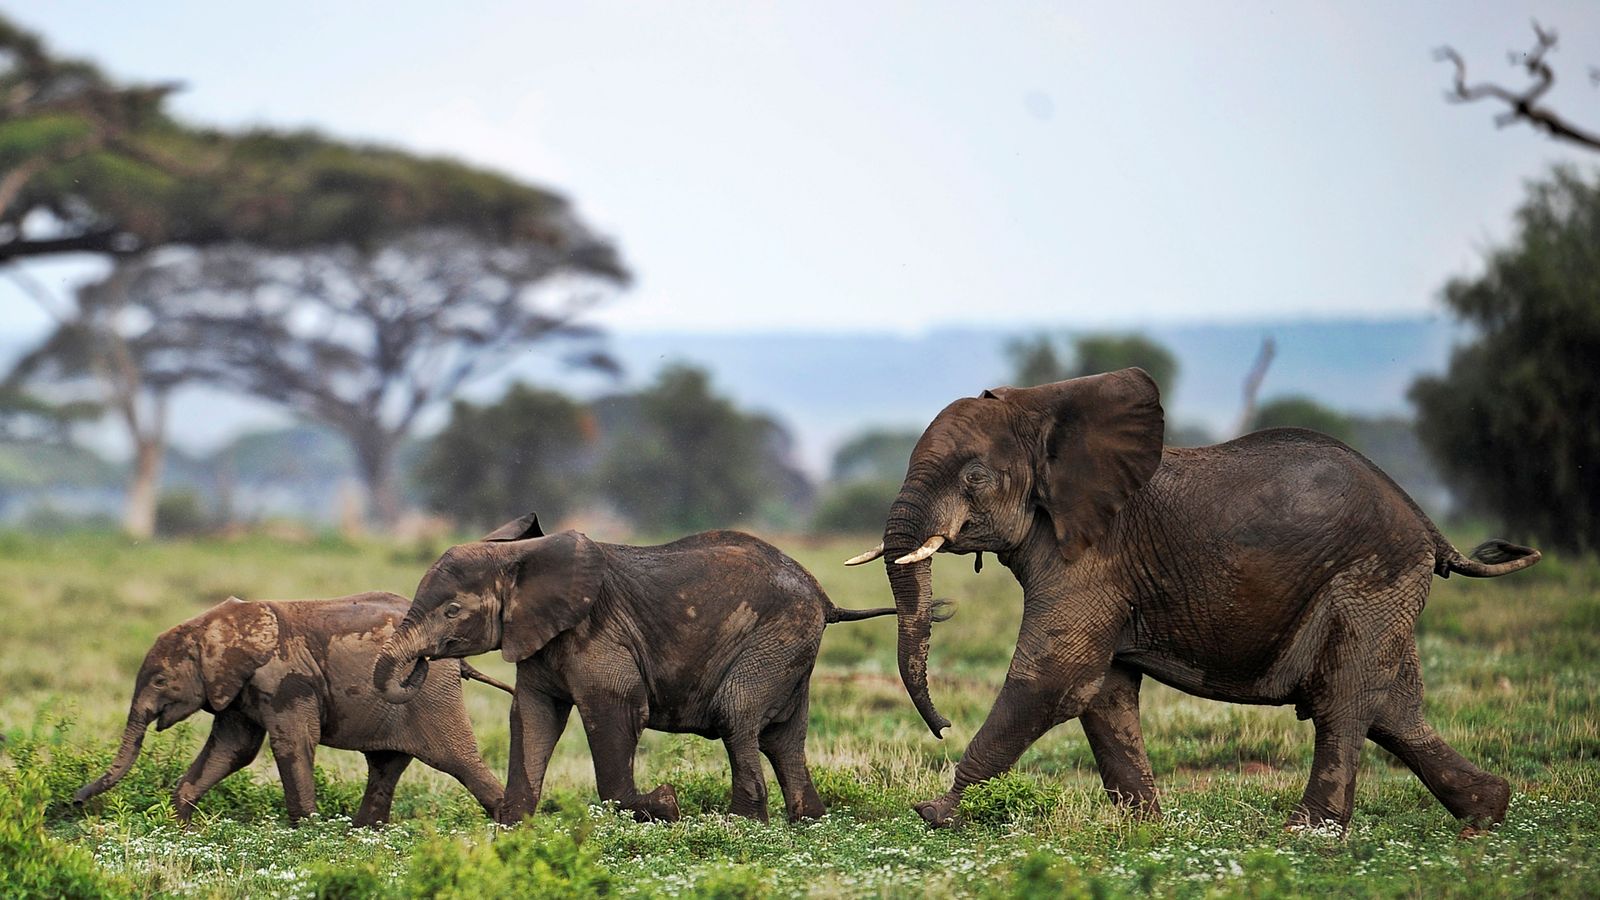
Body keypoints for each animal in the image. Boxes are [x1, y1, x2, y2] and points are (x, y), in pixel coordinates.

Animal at [74, 593, 510, 827]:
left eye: (161, 681)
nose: (77, 802)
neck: (213, 625)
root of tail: (456, 659)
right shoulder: (238, 687)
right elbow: (231, 750)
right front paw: (180, 825)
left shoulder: (285, 680)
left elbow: (292, 745)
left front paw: (306, 834)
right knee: (385, 766)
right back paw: (361, 835)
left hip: (431, 696)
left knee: (458, 760)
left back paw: (510, 827)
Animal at [373, 514, 900, 824]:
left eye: (452, 611)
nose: (421, 667)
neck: (522, 559)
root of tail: (825, 598)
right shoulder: (539, 639)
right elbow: (532, 716)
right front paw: (512, 824)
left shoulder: (598, 635)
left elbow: (615, 712)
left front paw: (665, 803)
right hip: (791, 650)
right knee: (783, 738)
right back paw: (806, 820)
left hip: (775, 639)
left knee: (737, 718)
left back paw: (744, 824)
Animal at [845, 367, 1541, 830]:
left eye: (975, 477)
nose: (941, 726)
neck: (1044, 410)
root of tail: (1425, 522)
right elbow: (1103, 692)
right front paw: (1144, 831)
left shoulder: (1092, 559)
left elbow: (1053, 679)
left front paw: (934, 814)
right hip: (1385, 587)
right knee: (1392, 707)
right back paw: (1487, 813)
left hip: (1369, 577)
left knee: (1343, 699)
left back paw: (1309, 837)